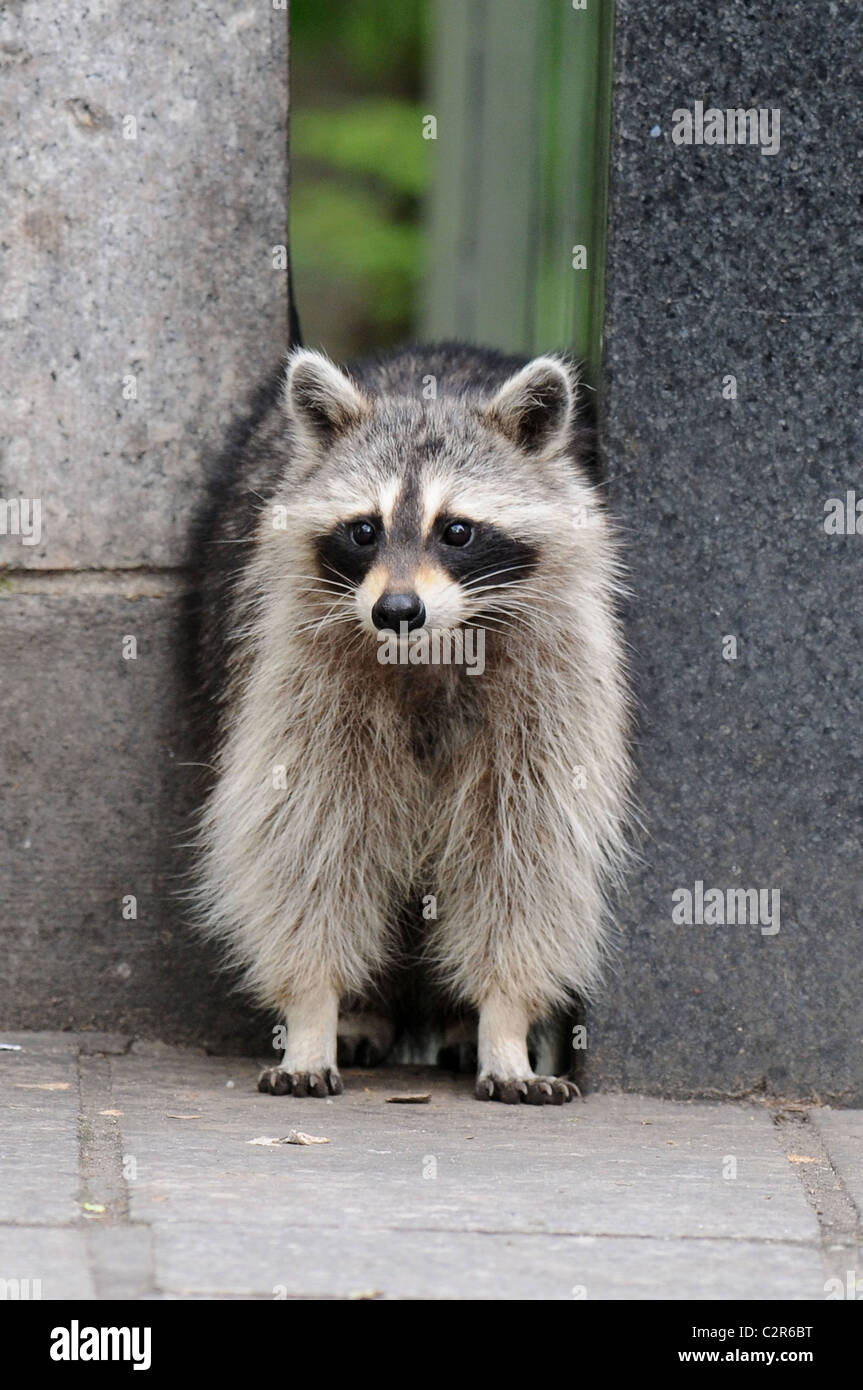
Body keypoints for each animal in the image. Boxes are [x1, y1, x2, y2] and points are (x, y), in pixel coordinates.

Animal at [191, 343, 632, 1104]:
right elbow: (305, 842)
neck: (429, 648)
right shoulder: (299, 675)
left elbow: (526, 853)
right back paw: (365, 1012)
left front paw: (505, 1023)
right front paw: (312, 1012)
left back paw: (455, 1024)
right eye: (364, 529)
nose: (396, 610)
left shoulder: (553, 683)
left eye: (455, 531)